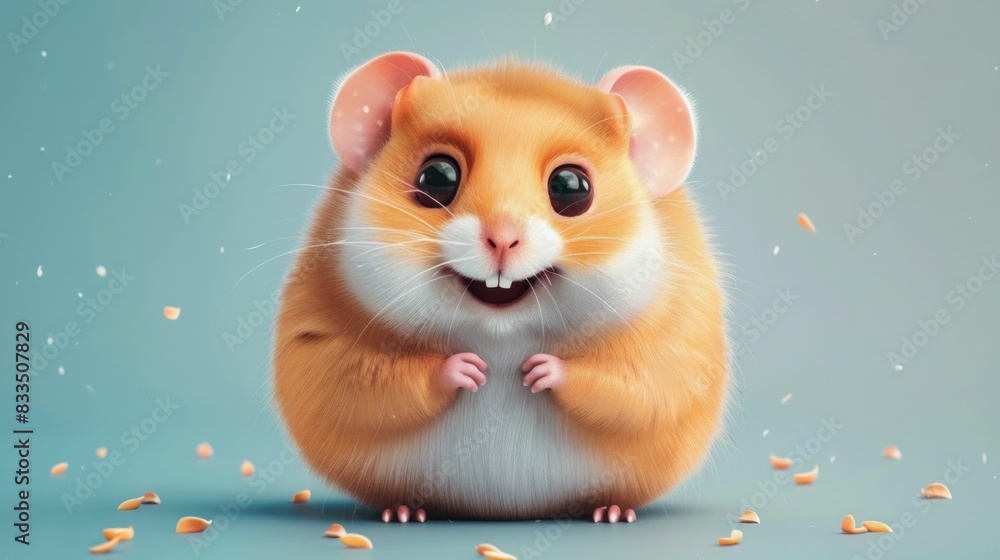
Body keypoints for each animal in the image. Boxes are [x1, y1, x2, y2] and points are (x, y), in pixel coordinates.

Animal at [273, 51, 728, 522]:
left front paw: (540, 370)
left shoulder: (675, 358)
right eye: (436, 178)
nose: (502, 238)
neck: (502, 334)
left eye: (572, 187)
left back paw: (612, 512)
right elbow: (360, 384)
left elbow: (639, 390)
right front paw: (468, 369)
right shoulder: (323, 349)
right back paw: (403, 512)